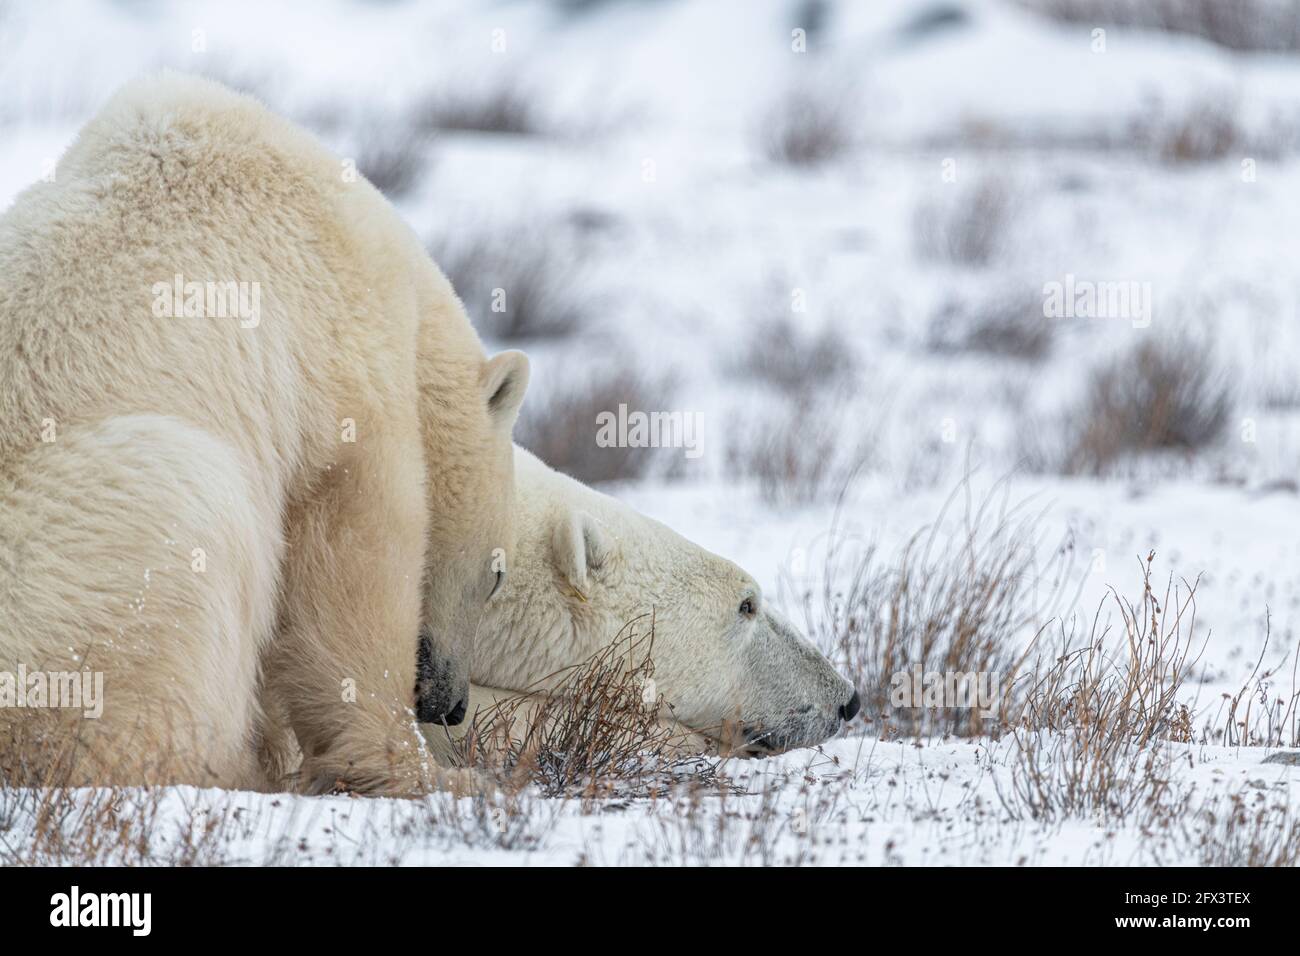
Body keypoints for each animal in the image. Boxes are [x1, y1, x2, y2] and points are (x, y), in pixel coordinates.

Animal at [0, 73, 528, 796]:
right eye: (497, 574)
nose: (450, 704)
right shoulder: (336, 327)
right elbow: (352, 536)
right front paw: (432, 773)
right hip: (76, 547)